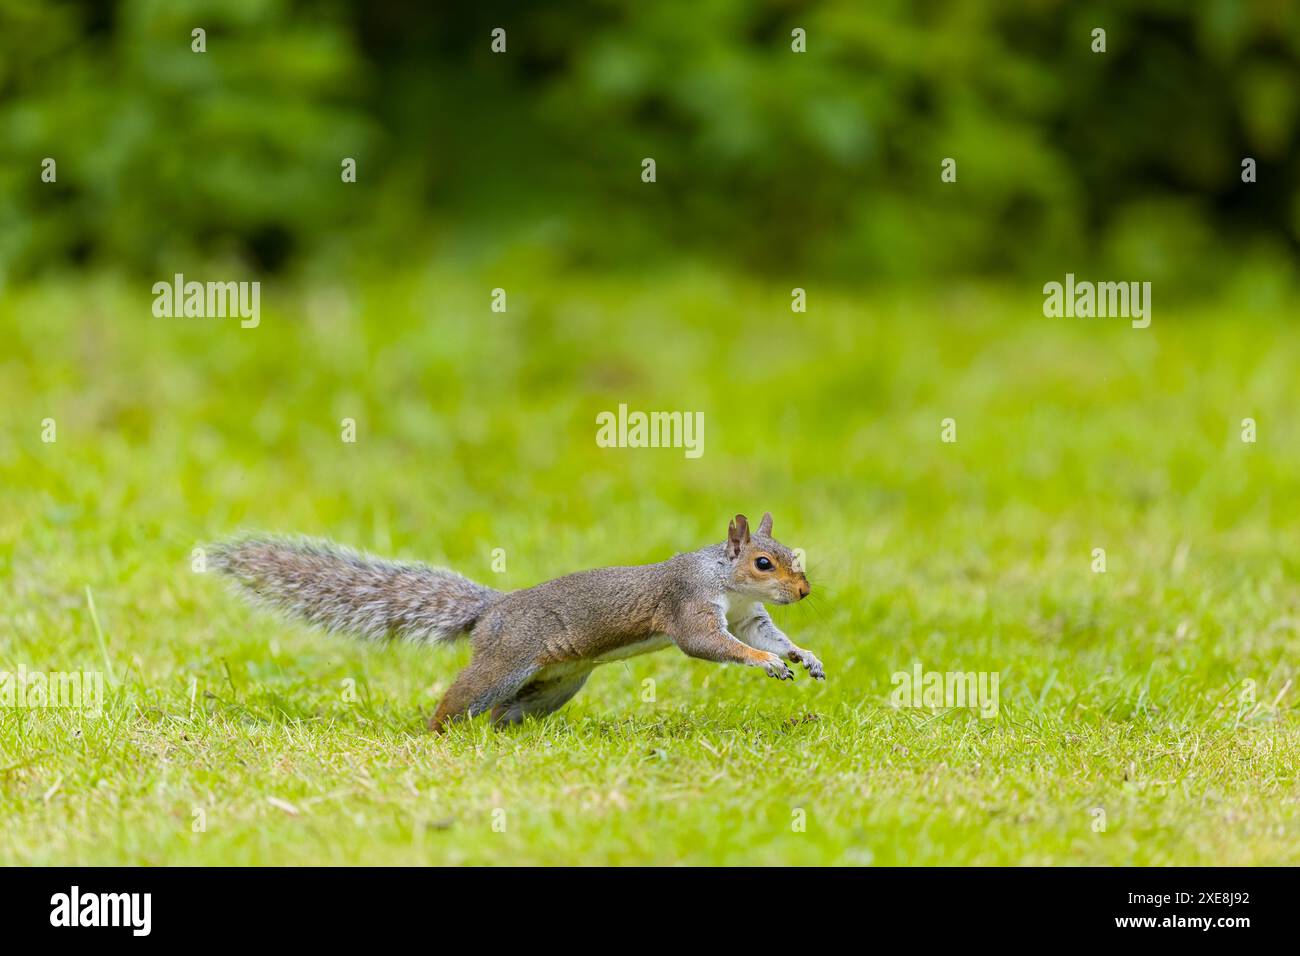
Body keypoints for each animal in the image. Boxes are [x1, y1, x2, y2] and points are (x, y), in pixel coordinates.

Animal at [210, 511, 822, 732]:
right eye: (763, 562)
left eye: (792, 554)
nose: (804, 591)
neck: (727, 582)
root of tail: (492, 612)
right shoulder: (687, 604)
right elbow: (707, 644)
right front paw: (766, 663)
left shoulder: (748, 616)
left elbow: (766, 635)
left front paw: (802, 655)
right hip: (505, 662)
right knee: (460, 701)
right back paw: (435, 734)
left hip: (556, 684)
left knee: (502, 712)